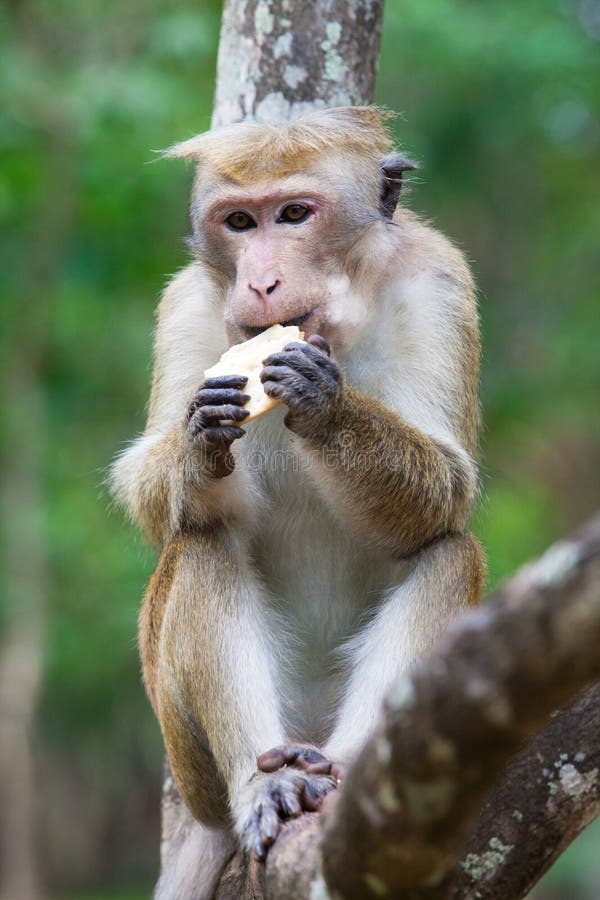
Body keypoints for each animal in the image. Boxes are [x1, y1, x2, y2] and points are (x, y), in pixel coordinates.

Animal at [111, 106, 485, 899]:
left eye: (293, 214)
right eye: (239, 222)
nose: (261, 281)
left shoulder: (439, 280)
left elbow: (449, 489)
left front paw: (325, 405)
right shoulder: (186, 303)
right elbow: (154, 495)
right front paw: (200, 436)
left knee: (450, 551)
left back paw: (335, 775)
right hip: (191, 760)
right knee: (201, 546)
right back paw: (267, 785)